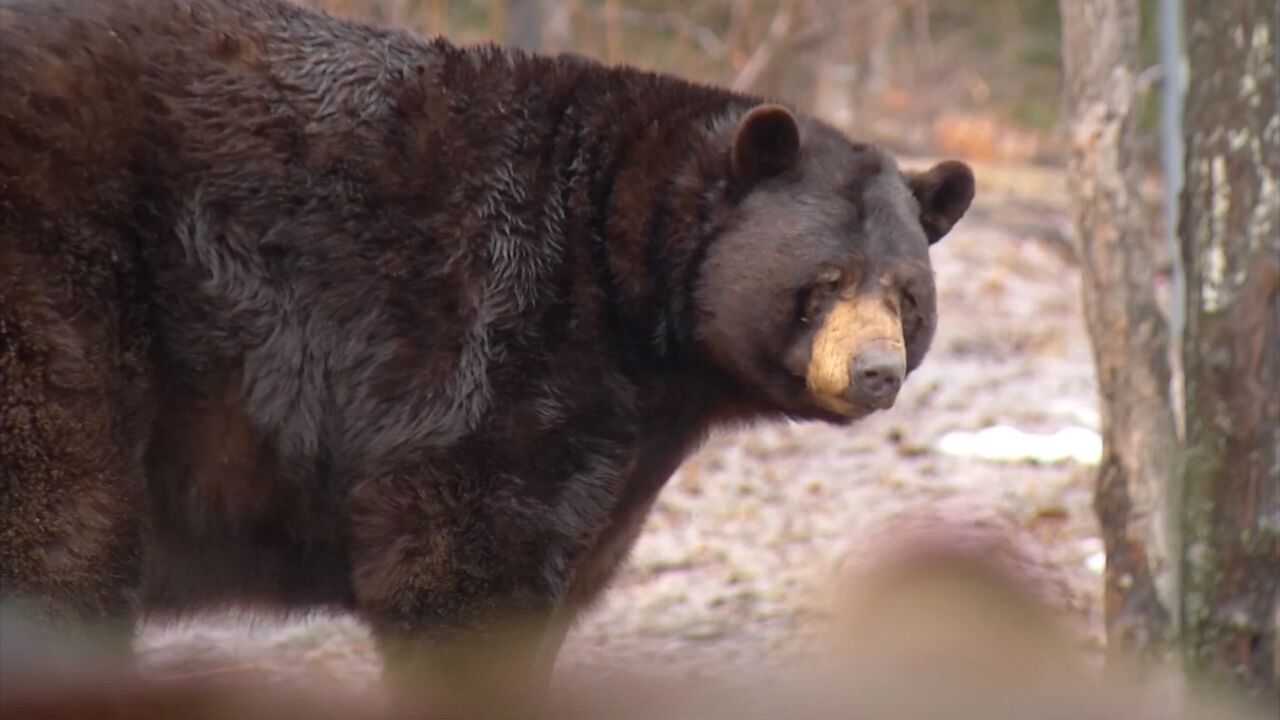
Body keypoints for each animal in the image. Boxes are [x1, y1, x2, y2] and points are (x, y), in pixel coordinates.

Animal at [0, 0, 974, 711]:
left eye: (906, 295)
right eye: (827, 279)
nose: (876, 372)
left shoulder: (624, 436)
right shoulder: (504, 333)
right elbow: (462, 560)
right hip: (60, 294)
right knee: (63, 524)